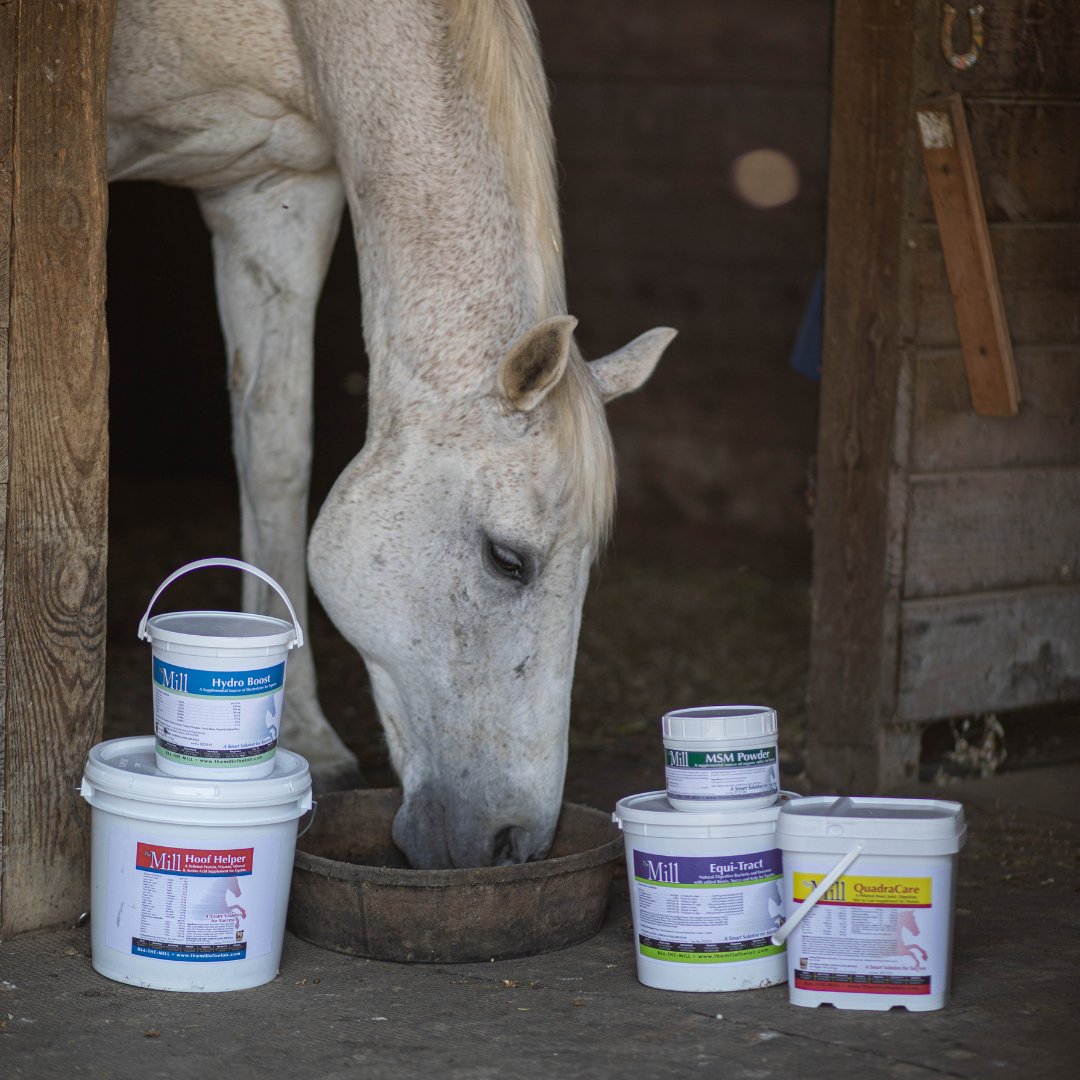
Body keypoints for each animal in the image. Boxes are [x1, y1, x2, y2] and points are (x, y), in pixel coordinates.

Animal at [107, 0, 675, 868]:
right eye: (507, 560)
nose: (514, 844)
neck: (313, 24)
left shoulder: (273, 194)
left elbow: (275, 455)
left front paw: (305, 732)